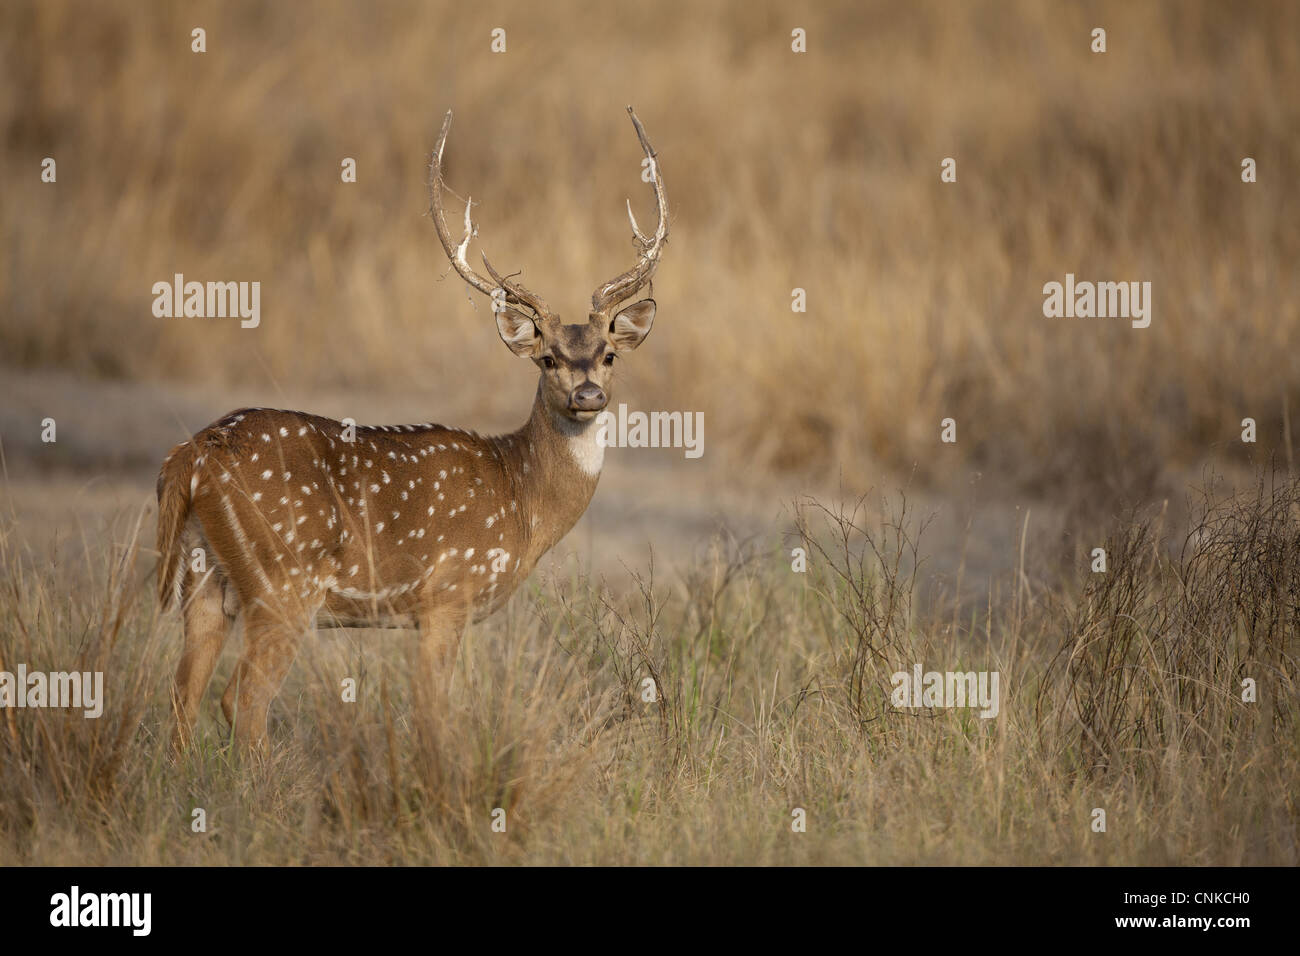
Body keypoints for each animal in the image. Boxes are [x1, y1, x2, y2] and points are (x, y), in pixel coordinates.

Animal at [156, 107, 668, 750]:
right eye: (547, 357)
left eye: (609, 355)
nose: (588, 395)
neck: (522, 500)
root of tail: (192, 455)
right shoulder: (447, 596)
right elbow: (431, 713)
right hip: (284, 580)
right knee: (240, 700)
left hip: (205, 578)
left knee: (182, 695)